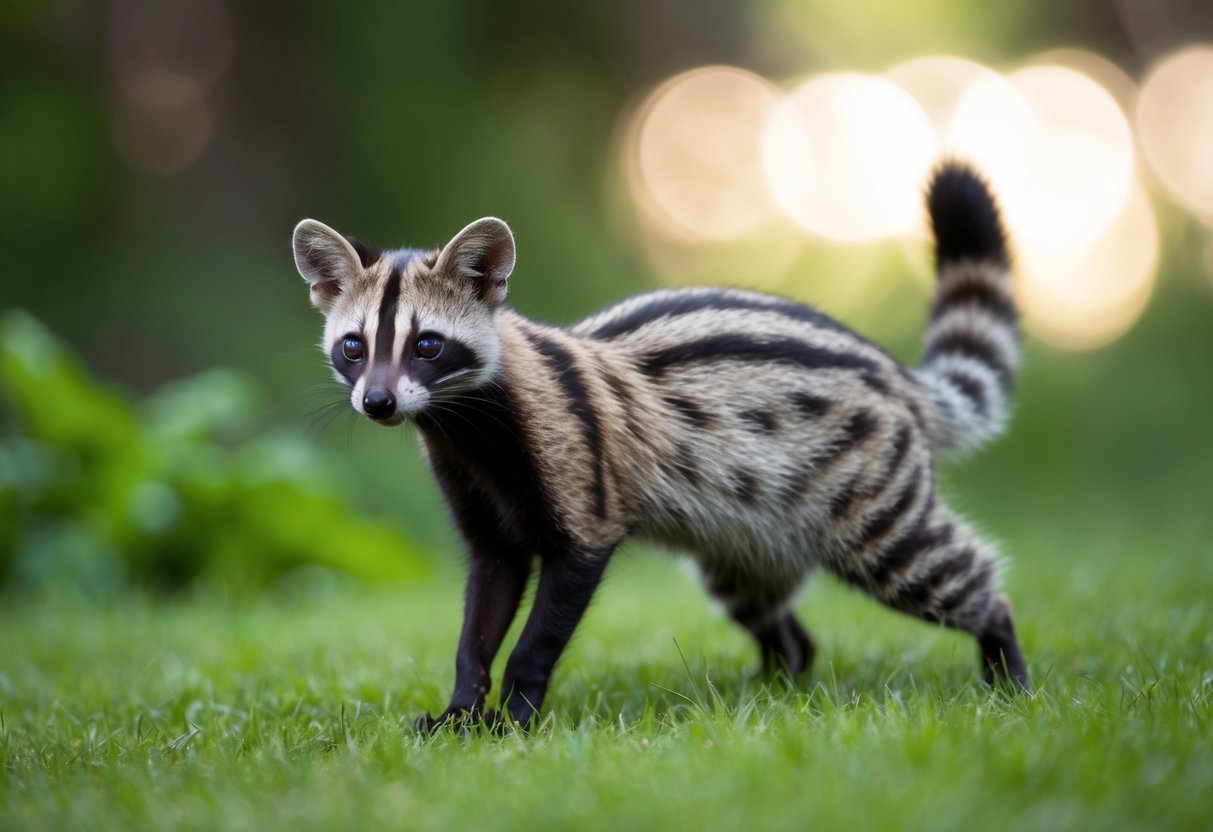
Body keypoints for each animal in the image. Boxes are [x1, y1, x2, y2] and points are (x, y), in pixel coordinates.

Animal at [292, 162, 1030, 732]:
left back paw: (1006, 666)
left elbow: (547, 618)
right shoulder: (478, 500)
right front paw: (462, 709)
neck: (461, 426)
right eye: (354, 346)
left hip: (869, 500)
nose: (378, 403)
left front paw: (515, 716)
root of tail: (895, 377)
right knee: (778, 620)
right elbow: (483, 610)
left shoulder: (576, 470)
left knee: (938, 569)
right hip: (745, 534)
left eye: (427, 345)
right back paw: (775, 683)